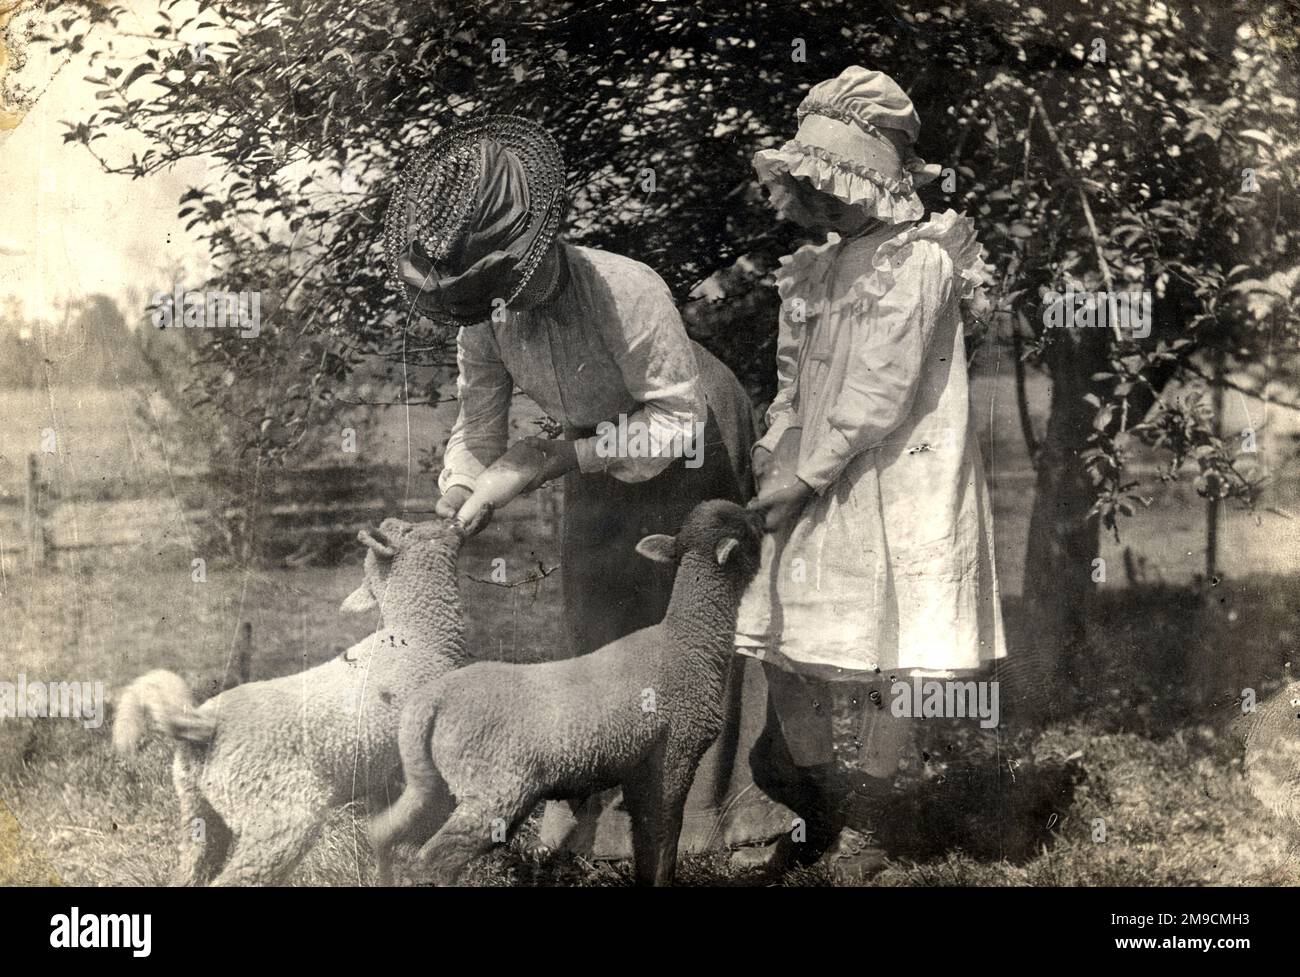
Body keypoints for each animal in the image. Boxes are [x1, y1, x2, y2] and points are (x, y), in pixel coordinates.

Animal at [112, 508, 490, 886]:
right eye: (410, 530)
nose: (455, 519)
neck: (421, 634)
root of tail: (202, 724)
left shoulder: (384, 772)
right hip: (278, 818)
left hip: (199, 815)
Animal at [370, 498, 765, 887]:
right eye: (748, 528)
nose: (762, 513)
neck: (687, 641)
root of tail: (430, 701)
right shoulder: (676, 753)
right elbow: (666, 836)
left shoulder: (638, 767)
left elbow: (644, 839)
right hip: (494, 789)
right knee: (436, 859)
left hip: (433, 783)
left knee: (384, 833)